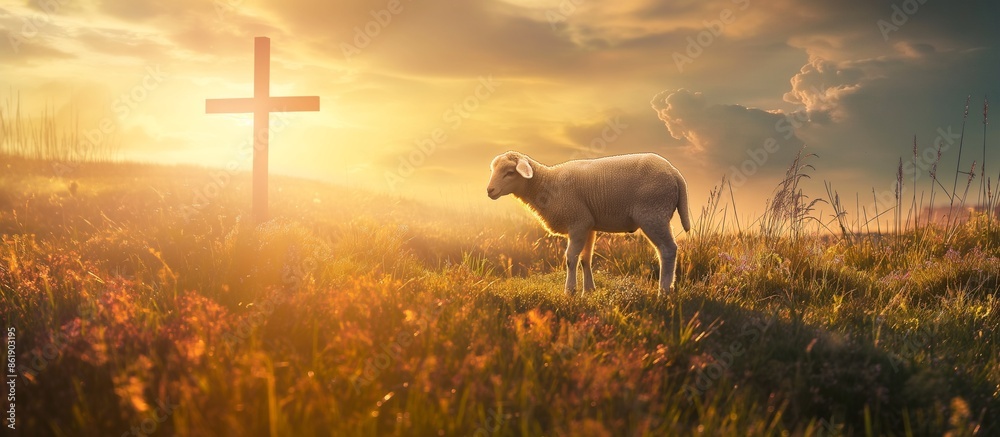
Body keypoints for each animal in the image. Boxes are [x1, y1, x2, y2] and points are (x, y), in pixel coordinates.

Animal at [486, 151, 691, 296]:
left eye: (510, 172)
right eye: (493, 170)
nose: (490, 190)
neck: (547, 183)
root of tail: (675, 173)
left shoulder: (577, 222)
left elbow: (570, 259)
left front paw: (570, 291)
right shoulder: (588, 225)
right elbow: (586, 259)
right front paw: (588, 291)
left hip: (654, 212)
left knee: (667, 250)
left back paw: (663, 292)